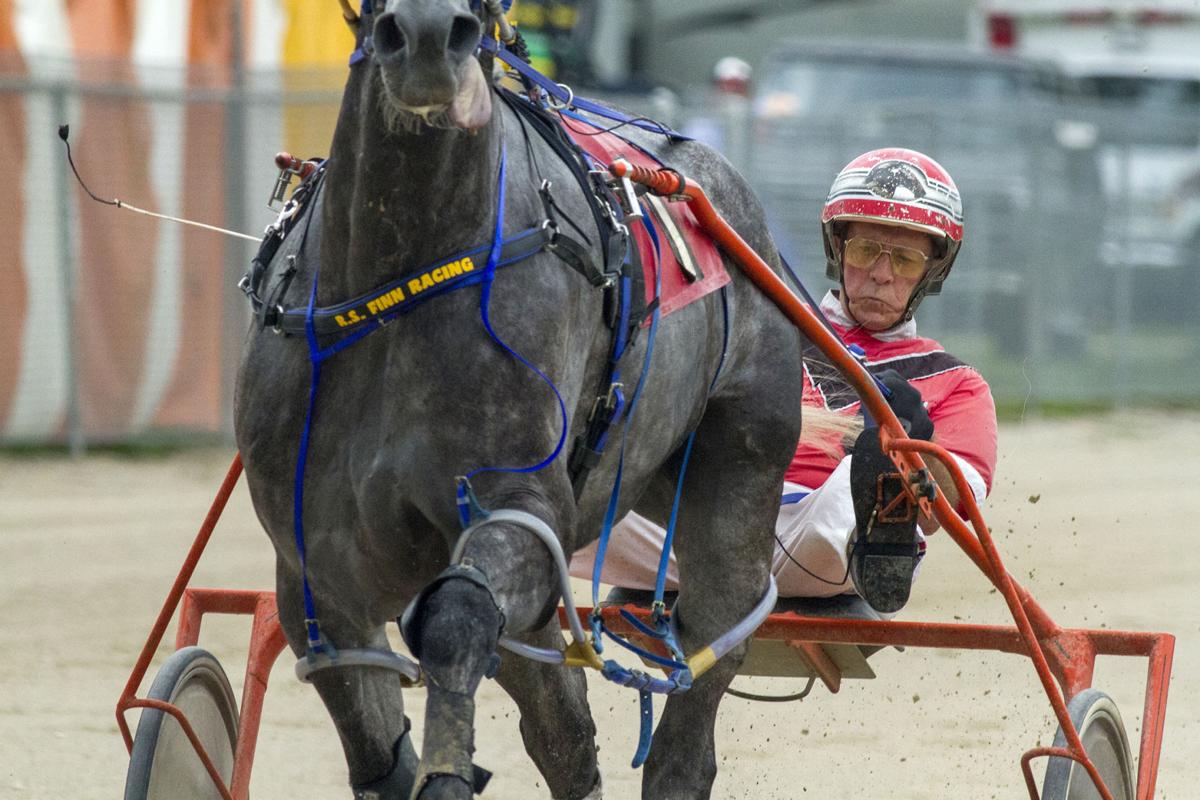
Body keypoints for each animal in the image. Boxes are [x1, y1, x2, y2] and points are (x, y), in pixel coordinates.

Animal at [233, 1, 804, 797]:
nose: (428, 36)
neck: (394, 276)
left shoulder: (520, 506)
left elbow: (458, 618)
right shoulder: (318, 569)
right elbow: (378, 741)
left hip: (739, 453)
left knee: (713, 635)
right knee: (561, 721)